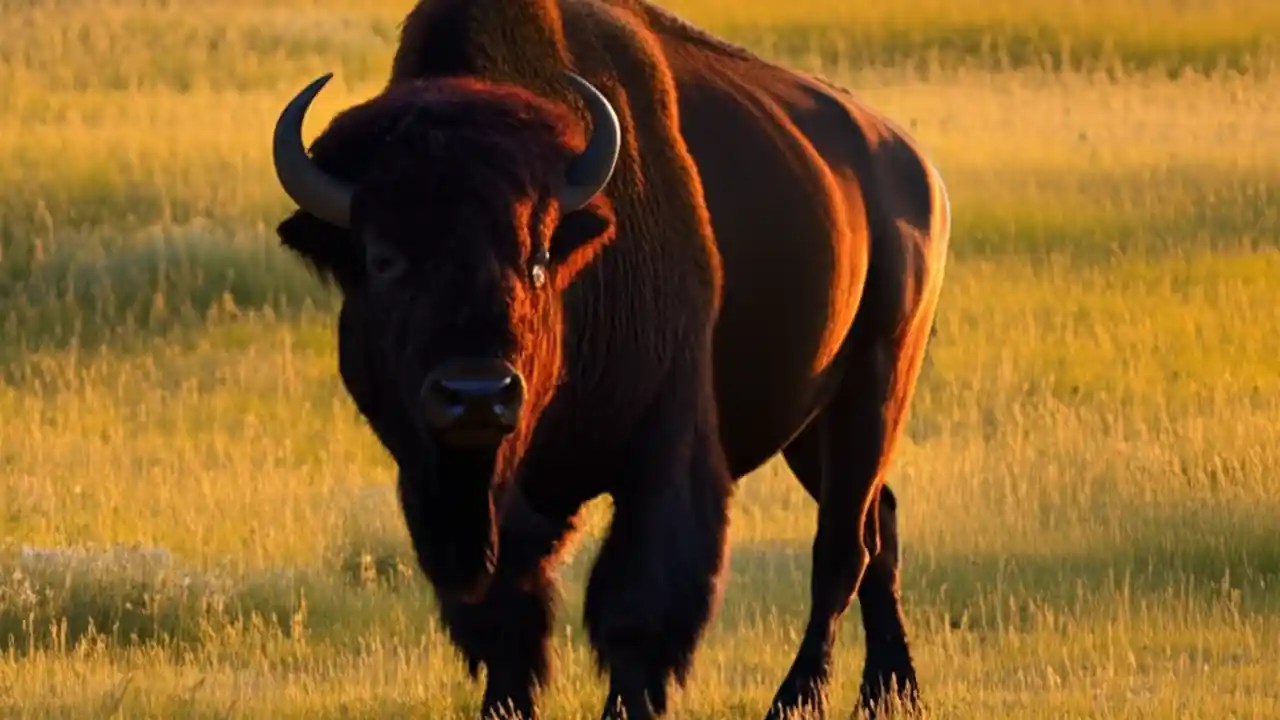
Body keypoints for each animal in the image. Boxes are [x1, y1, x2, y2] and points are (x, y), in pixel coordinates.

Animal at [271, 0, 950, 718]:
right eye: (382, 260)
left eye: (540, 256)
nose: (477, 395)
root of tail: (917, 172)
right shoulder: (449, 482)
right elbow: (504, 618)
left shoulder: (663, 449)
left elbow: (634, 607)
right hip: (810, 429)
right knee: (880, 526)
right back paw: (890, 690)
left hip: (873, 391)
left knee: (842, 549)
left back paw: (796, 699)